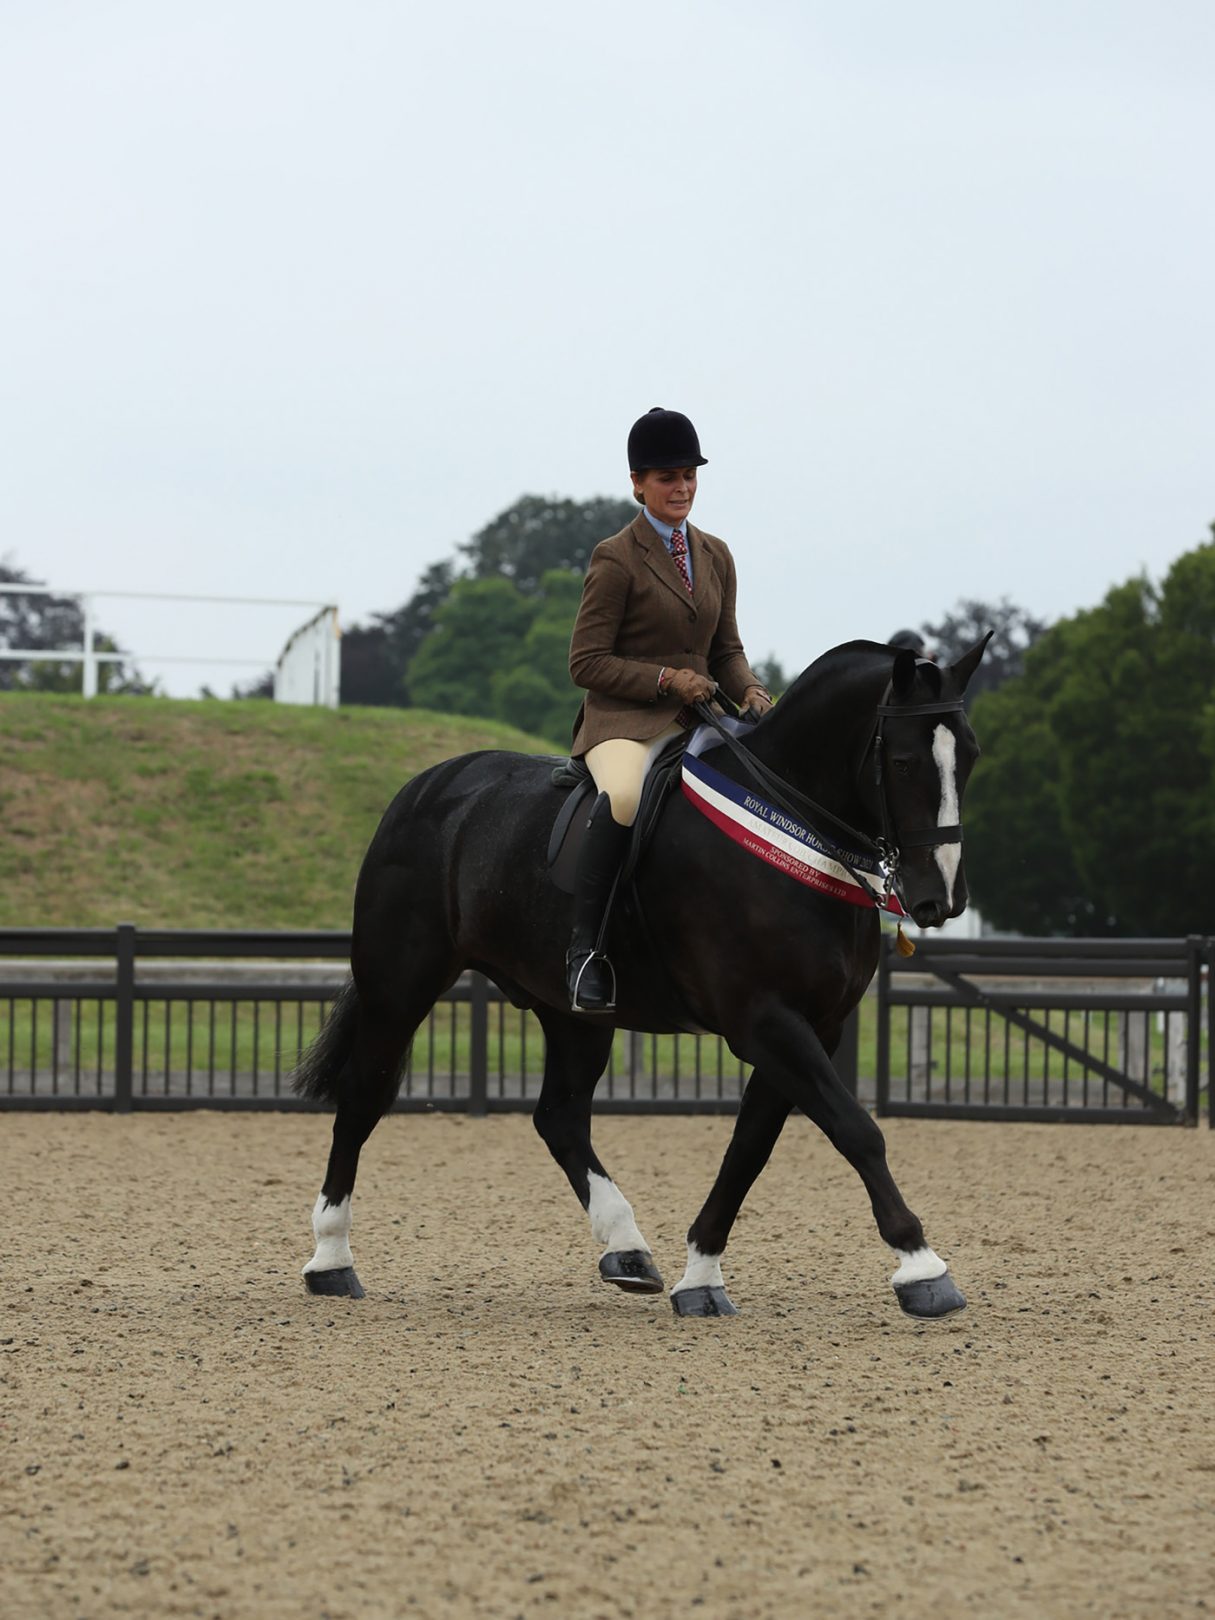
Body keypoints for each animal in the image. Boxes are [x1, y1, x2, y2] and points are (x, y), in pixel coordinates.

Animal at [292, 636, 989, 1318]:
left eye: (970, 756)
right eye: (903, 761)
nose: (942, 899)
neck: (792, 830)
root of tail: (428, 786)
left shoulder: (812, 1025)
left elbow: (749, 1149)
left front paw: (701, 1276)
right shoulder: (764, 1020)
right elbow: (856, 1130)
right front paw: (922, 1267)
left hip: (572, 1013)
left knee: (560, 1118)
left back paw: (626, 1250)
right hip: (400, 984)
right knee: (362, 1097)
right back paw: (331, 1261)